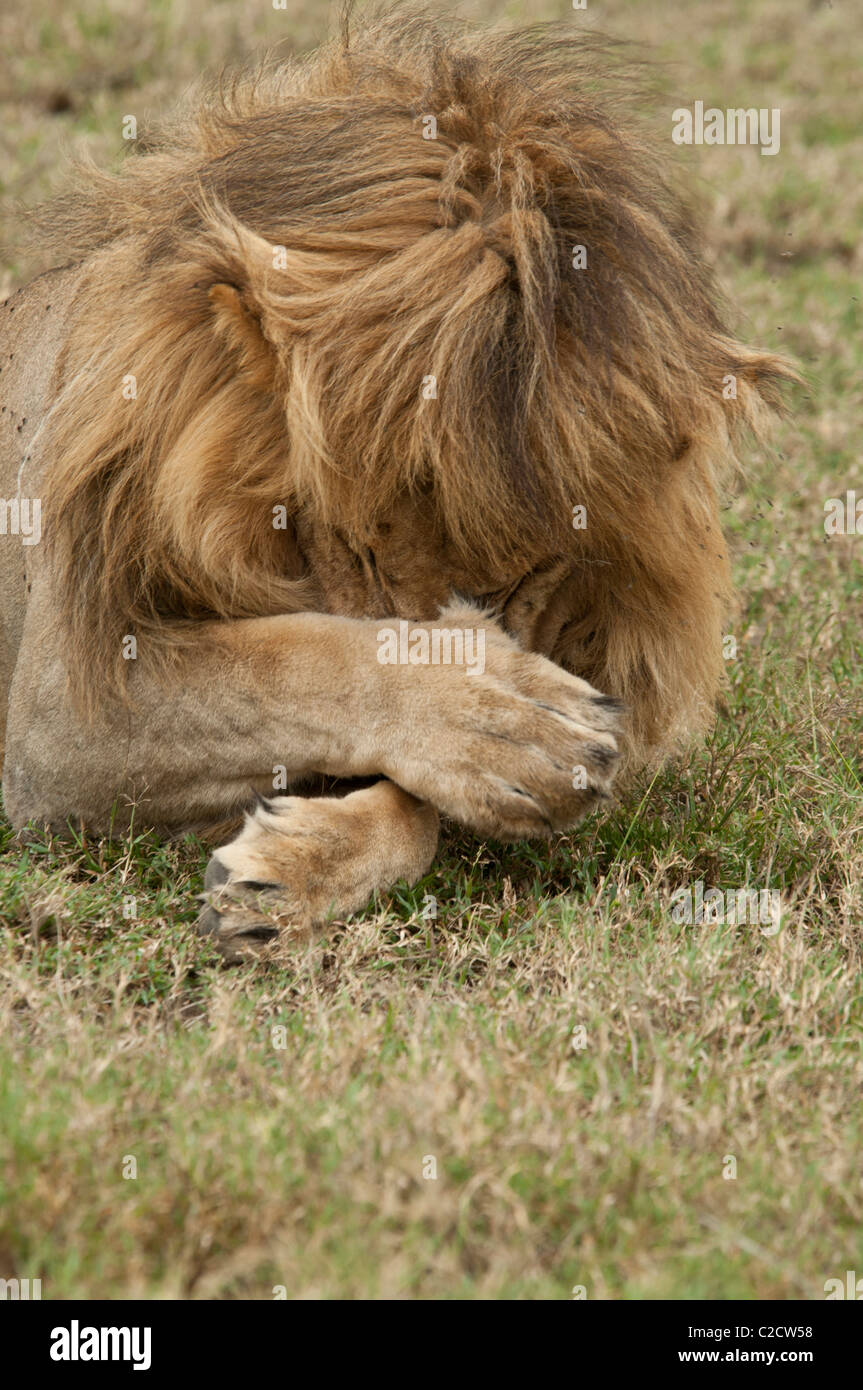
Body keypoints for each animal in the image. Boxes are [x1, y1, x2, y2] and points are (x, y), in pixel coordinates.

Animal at [0, 7, 794, 959]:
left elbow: (416, 799)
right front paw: (498, 714)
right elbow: (291, 663)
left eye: (522, 581)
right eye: (360, 553)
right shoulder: (62, 713)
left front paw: (294, 868)